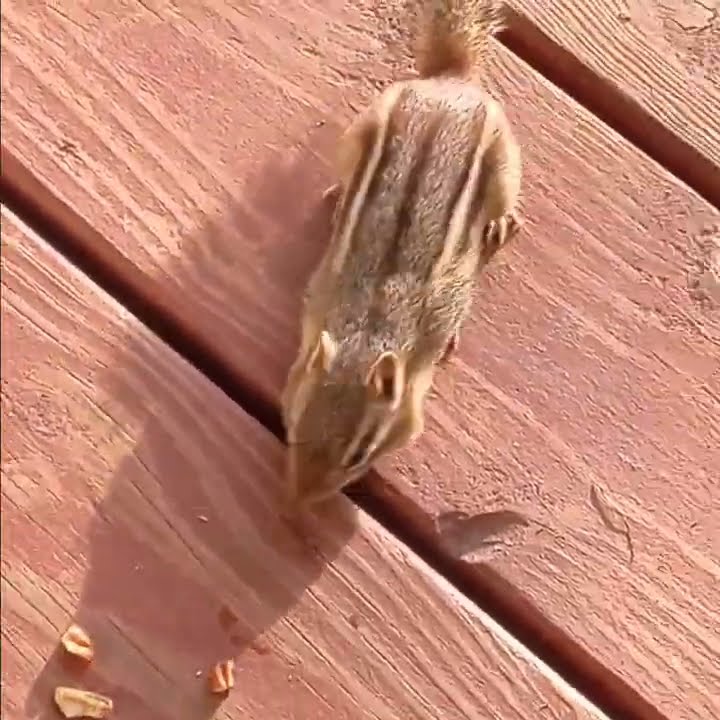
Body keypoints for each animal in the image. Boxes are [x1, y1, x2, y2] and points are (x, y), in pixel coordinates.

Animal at [281, 0, 522, 508]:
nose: (297, 501)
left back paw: (501, 224)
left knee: (504, 200)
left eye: (358, 456)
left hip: (507, 165)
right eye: (293, 421)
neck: (369, 332)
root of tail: (449, 80)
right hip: (358, 132)